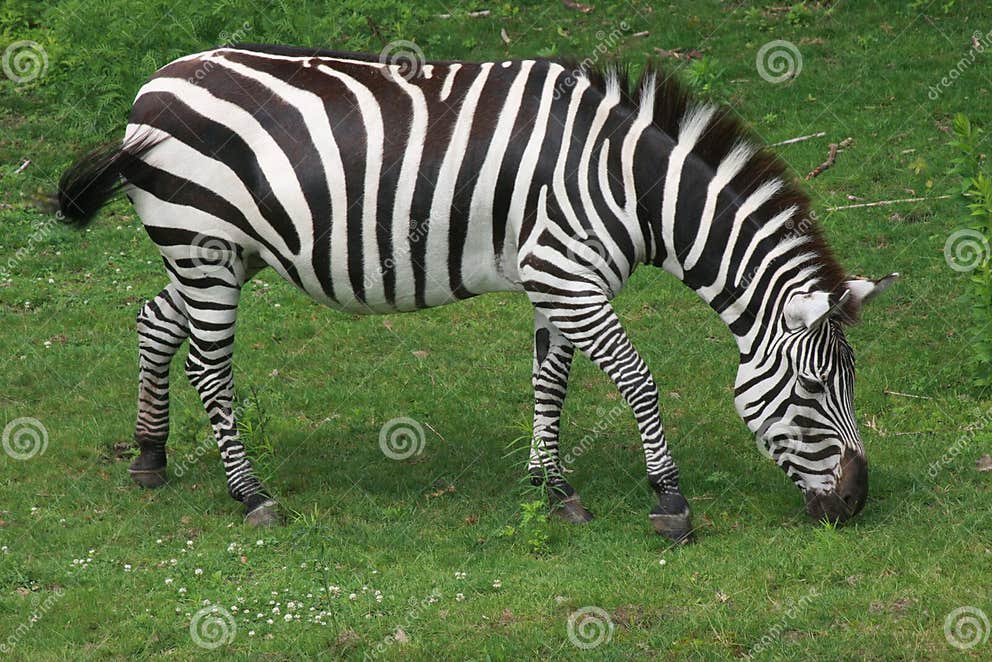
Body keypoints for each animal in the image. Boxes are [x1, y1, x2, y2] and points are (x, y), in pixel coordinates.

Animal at [54, 44, 896, 543]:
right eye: (814, 391)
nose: (857, 503)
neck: (630, 185)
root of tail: (152, 86)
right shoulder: (567, 273)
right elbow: (637, 382)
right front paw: (669, 502)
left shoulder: (557, 281)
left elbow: (551, 383)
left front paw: (553, 488)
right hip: (203, 247)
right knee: (209, 367)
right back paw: (250, 494)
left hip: (222, 255)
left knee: (155, 321)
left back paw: (150, 455)